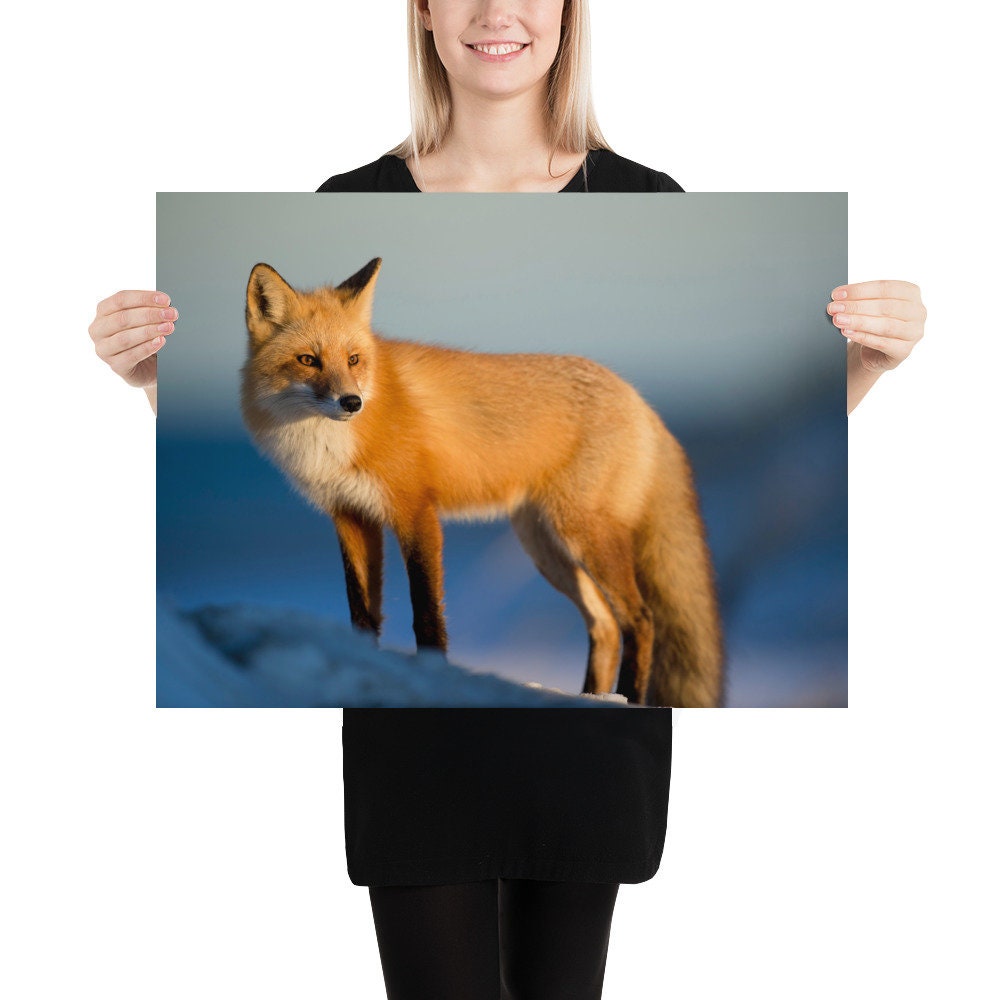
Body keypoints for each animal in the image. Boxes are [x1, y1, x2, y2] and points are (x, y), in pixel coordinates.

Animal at [240, 258, 724, 707]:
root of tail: (640, 401)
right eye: (308, 360)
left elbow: (426, 613)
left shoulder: (416, 511)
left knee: (640, 620)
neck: (329, 445)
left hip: (584, 535)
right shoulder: (351, 516)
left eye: (354, 360)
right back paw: (592, 696)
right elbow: (362, 613)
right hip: (545, 547)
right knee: (604, 625)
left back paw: (627, 697)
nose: (352, 402)